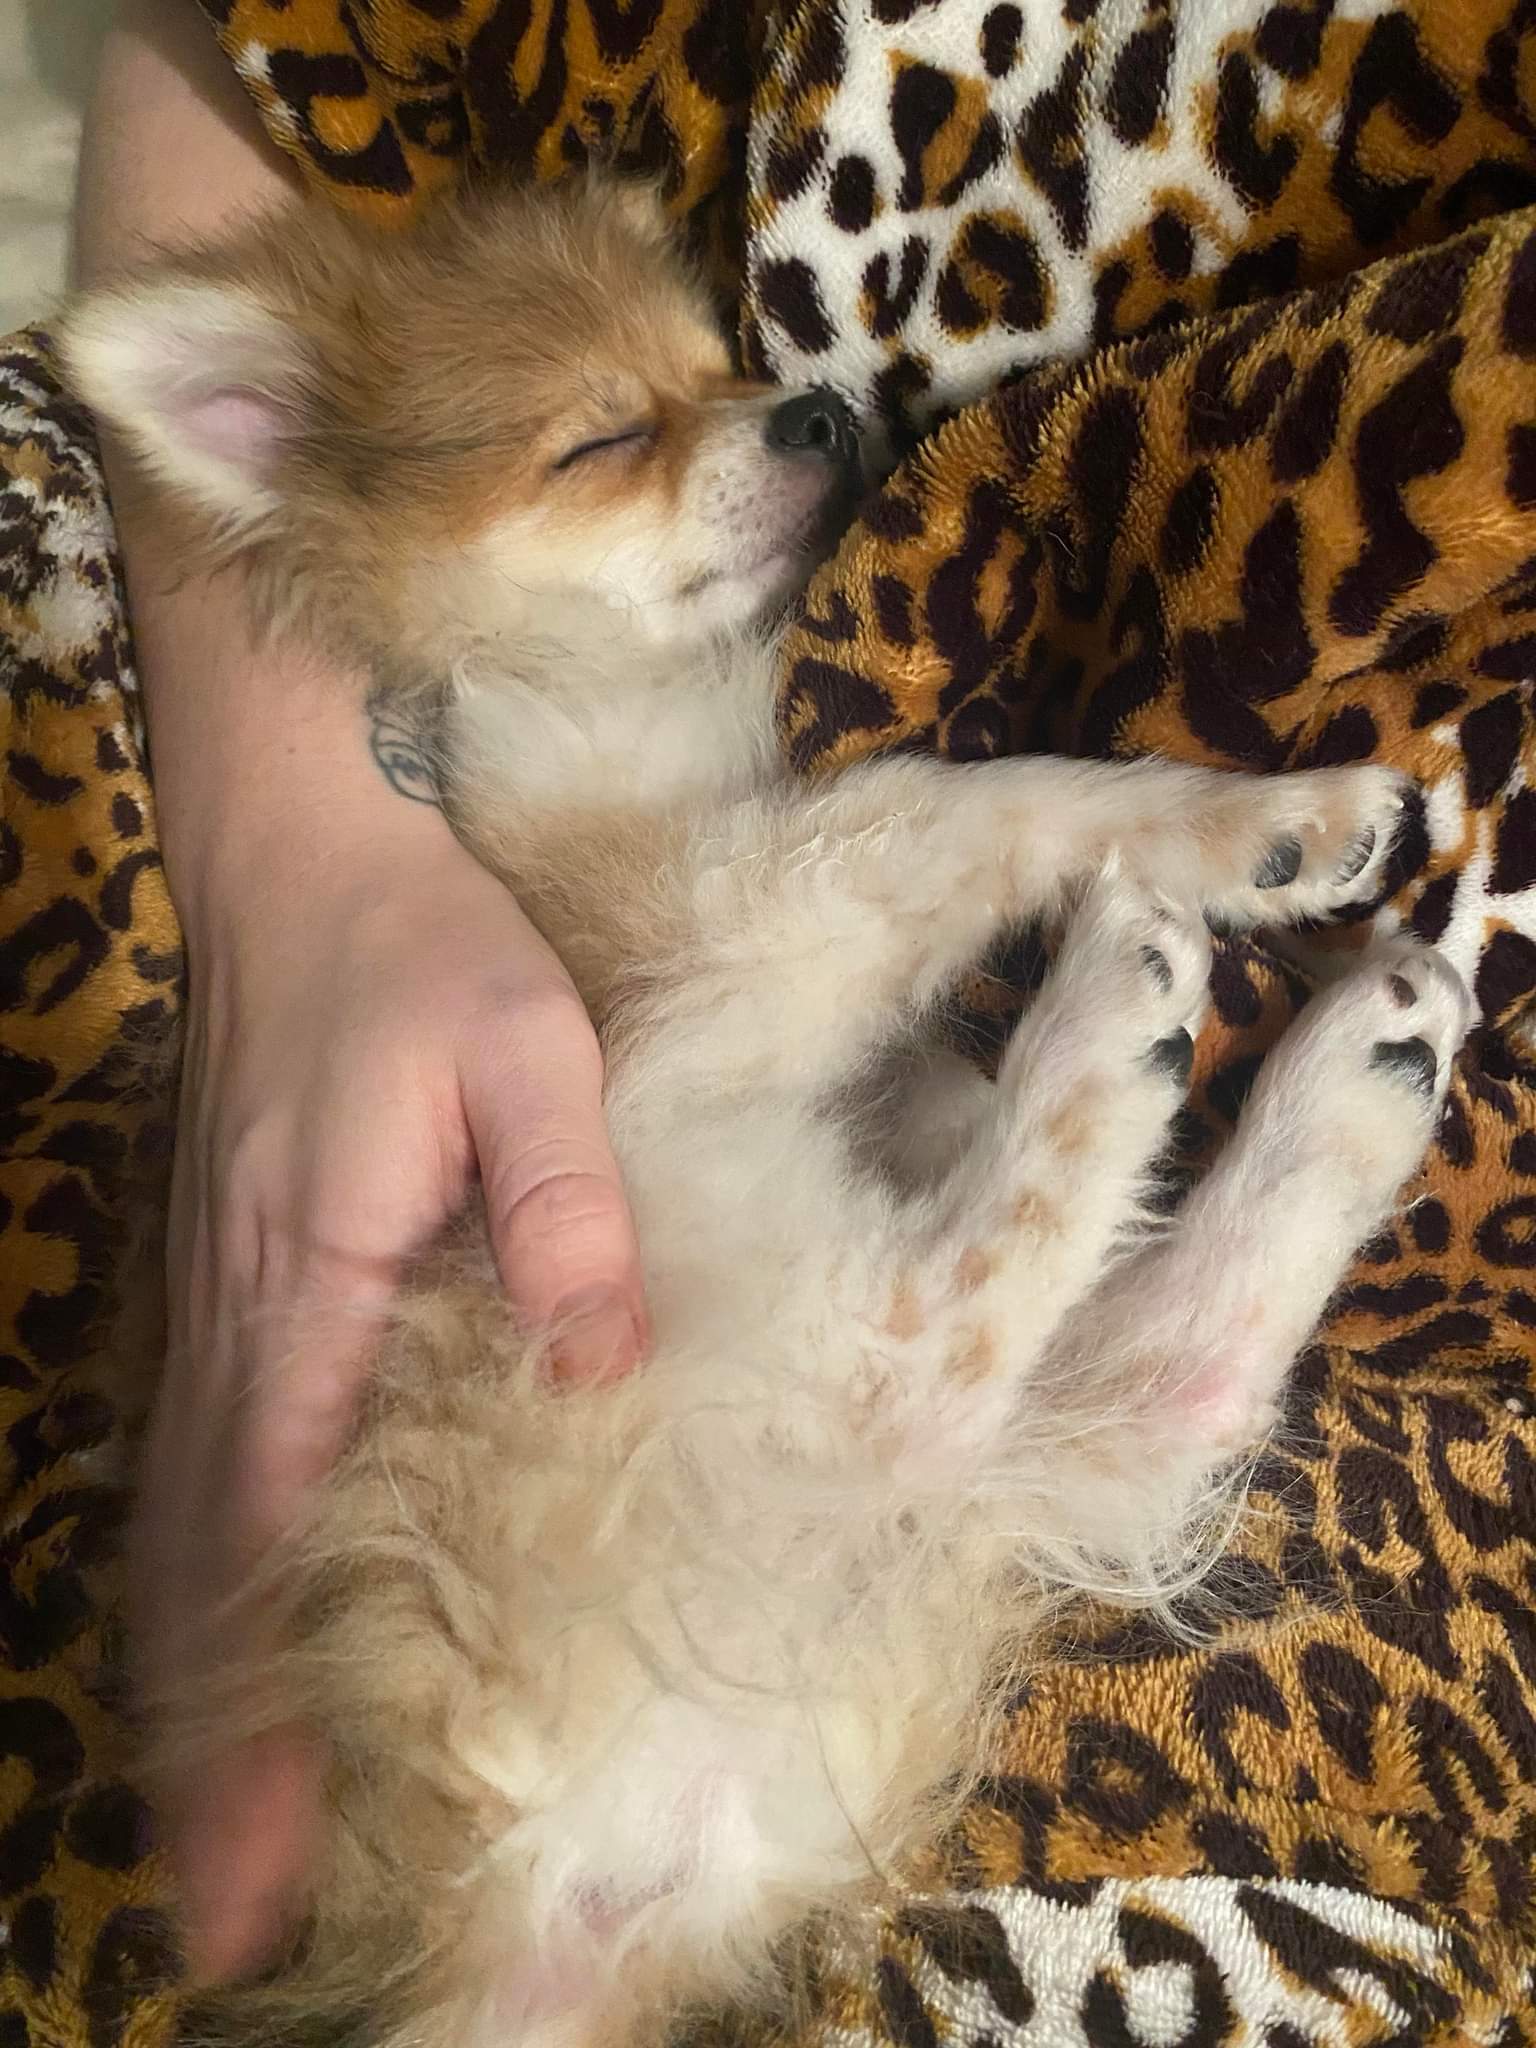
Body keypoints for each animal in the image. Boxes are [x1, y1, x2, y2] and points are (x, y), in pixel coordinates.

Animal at [62, 173, 1472, 2048]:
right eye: (598, 438)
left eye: (722, 364)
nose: (814, 411)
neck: (597, 698)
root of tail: (512, 1925)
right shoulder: (708, 930)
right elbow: (957, 802)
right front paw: (1237, 831)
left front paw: (1279, 827)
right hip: (639, 1267)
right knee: (924, 1356)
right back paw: (1117, 1020)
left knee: (1141, 1381)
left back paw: (1363, 1064)